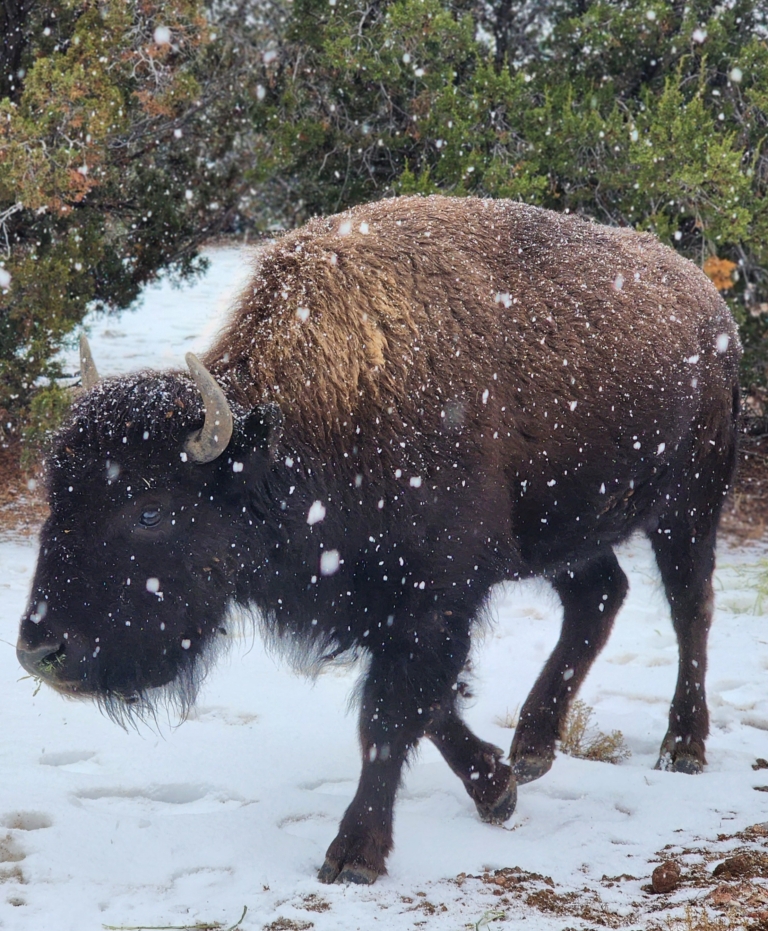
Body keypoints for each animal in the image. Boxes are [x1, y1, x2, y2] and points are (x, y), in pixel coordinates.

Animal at [17, 195, 740, 884]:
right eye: (57, 491)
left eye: (150, 512)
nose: (39, 650)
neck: (294, 438)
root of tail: (712, 306)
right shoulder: (370, 600)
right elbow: (430, 706)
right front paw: (497, 788)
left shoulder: (429, 599)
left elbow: (390, 715)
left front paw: (354, 855)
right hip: (565, 533)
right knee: (600, 596)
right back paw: (532, 747)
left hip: (689, 506)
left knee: (690, 608)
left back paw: (682, 746)